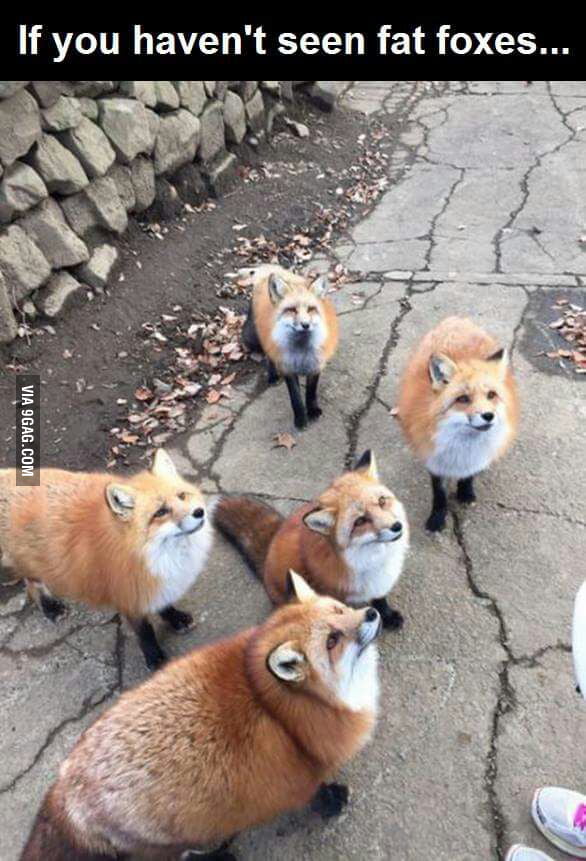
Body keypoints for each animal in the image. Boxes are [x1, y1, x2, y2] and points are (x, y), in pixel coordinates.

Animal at [0, 449, 212, 670]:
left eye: (182, 495)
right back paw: (50, 607)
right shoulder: (128, 595)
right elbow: (145, 632)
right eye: (160, 512)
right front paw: (155, 659)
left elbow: (164, 606)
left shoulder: (154, 585)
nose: (199, 512)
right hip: (31, 563)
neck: (148, 554)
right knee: (32, 584)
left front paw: (176, 619)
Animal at [21, 572, 381, 861]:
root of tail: (62, 786)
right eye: (332, 640)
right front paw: (333, 801)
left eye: (338, 610)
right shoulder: (298, 776)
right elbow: (317, 796)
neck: (278, 706)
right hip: (173, 842)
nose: (372, 612)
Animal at [215, 449, 409, 630]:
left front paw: (388, 616)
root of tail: (272, 542)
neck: (370, 560)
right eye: (360, 521)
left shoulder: (378, 583)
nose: (397, 526)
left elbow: (380, 601)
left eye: (382, 501)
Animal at [240, 264, 339, 429]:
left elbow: (311, 393)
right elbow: (296, 398)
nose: (305, 325)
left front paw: (312, 411)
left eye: (311, 309)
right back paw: (272, 376)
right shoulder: (287, 367)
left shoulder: (316, 364)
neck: (301, 351)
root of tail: (272, 269)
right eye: (292, 310)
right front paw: (300, 420)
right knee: (269, 356)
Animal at [397, 316, 519, 532]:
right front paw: (437, 518)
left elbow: (469, 476)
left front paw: (466, 492)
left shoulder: (474, 458)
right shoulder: (434, 458)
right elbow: (439, 495)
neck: (463, 447)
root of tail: (456, 318)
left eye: (491, 395)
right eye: (463, 399)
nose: (489, 416)